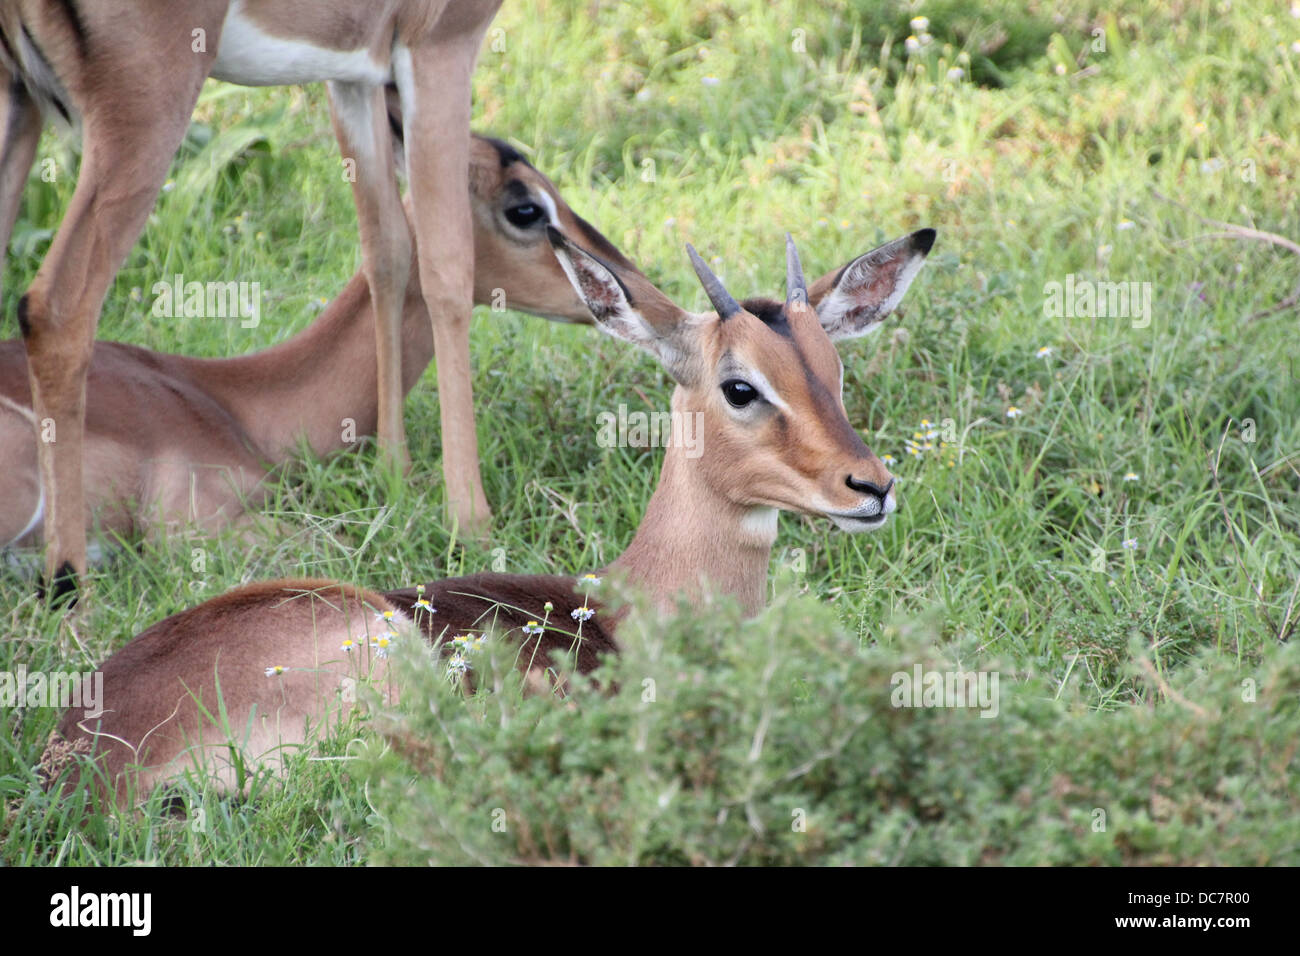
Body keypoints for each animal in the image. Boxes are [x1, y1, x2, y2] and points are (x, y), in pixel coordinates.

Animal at [0, 0, 503, 598]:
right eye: (526, 210)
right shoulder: (443, 45)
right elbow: (447, 266)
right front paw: (471, 524)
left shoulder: (353, 76)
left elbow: (388, 250)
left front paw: (394, 477)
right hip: (146, 114)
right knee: (56, 309)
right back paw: (68, 580)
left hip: (18, 105)